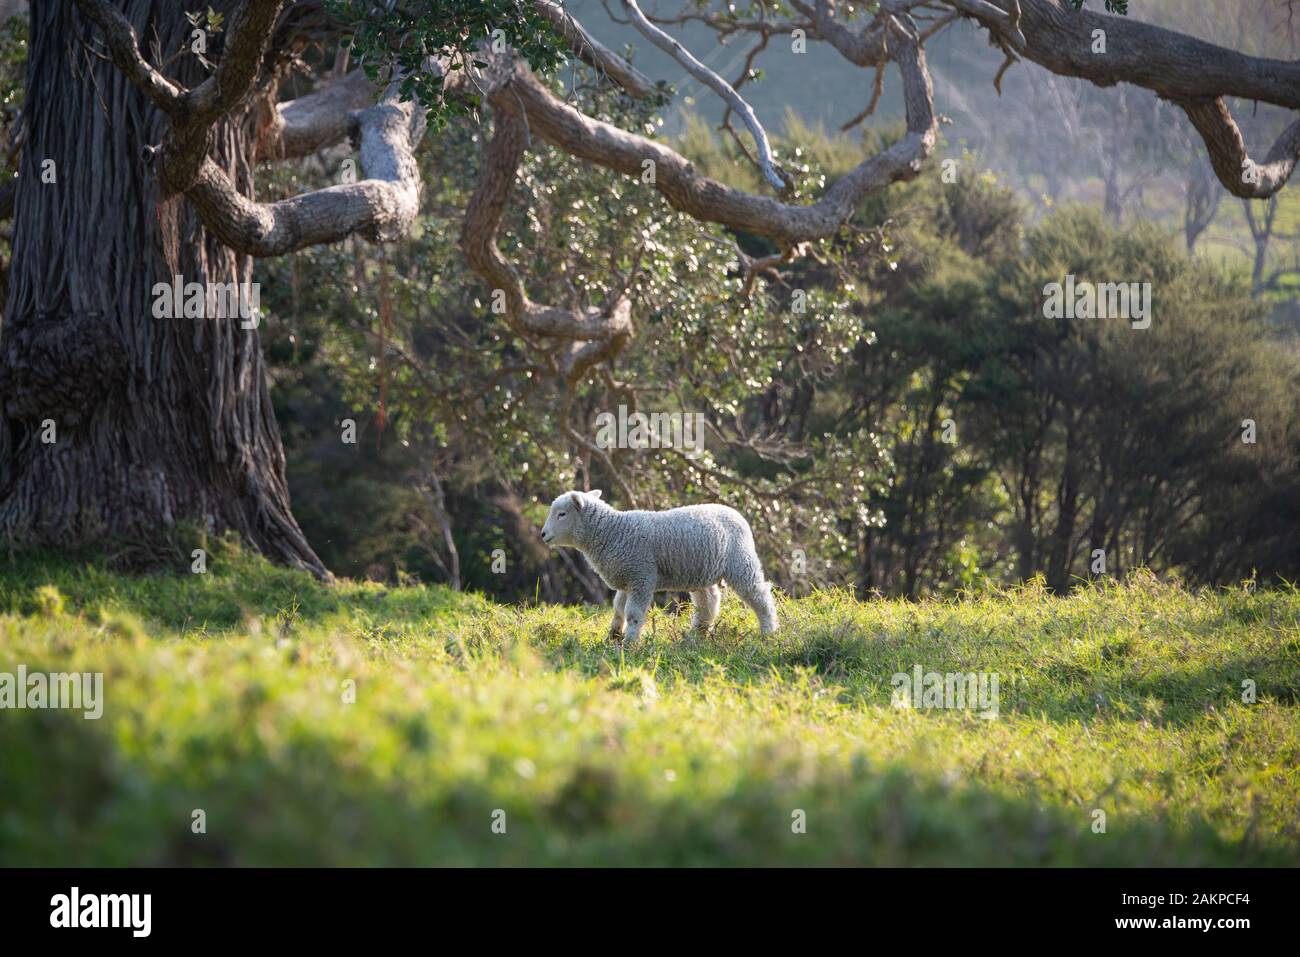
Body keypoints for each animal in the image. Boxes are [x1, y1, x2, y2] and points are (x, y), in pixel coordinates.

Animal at [540, 489, 778, 643]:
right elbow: (618, 609)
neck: (611, 532)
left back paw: (769, 632)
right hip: (700, 570)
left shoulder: (641, 576)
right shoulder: (628, 578)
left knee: (759, 594)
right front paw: (613, 636)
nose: (542, 535)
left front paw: (630, 643)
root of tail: (735, 513)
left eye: (562, 514)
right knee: (708, 602)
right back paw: (696, 636)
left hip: (740, 561)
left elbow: (633, 613)